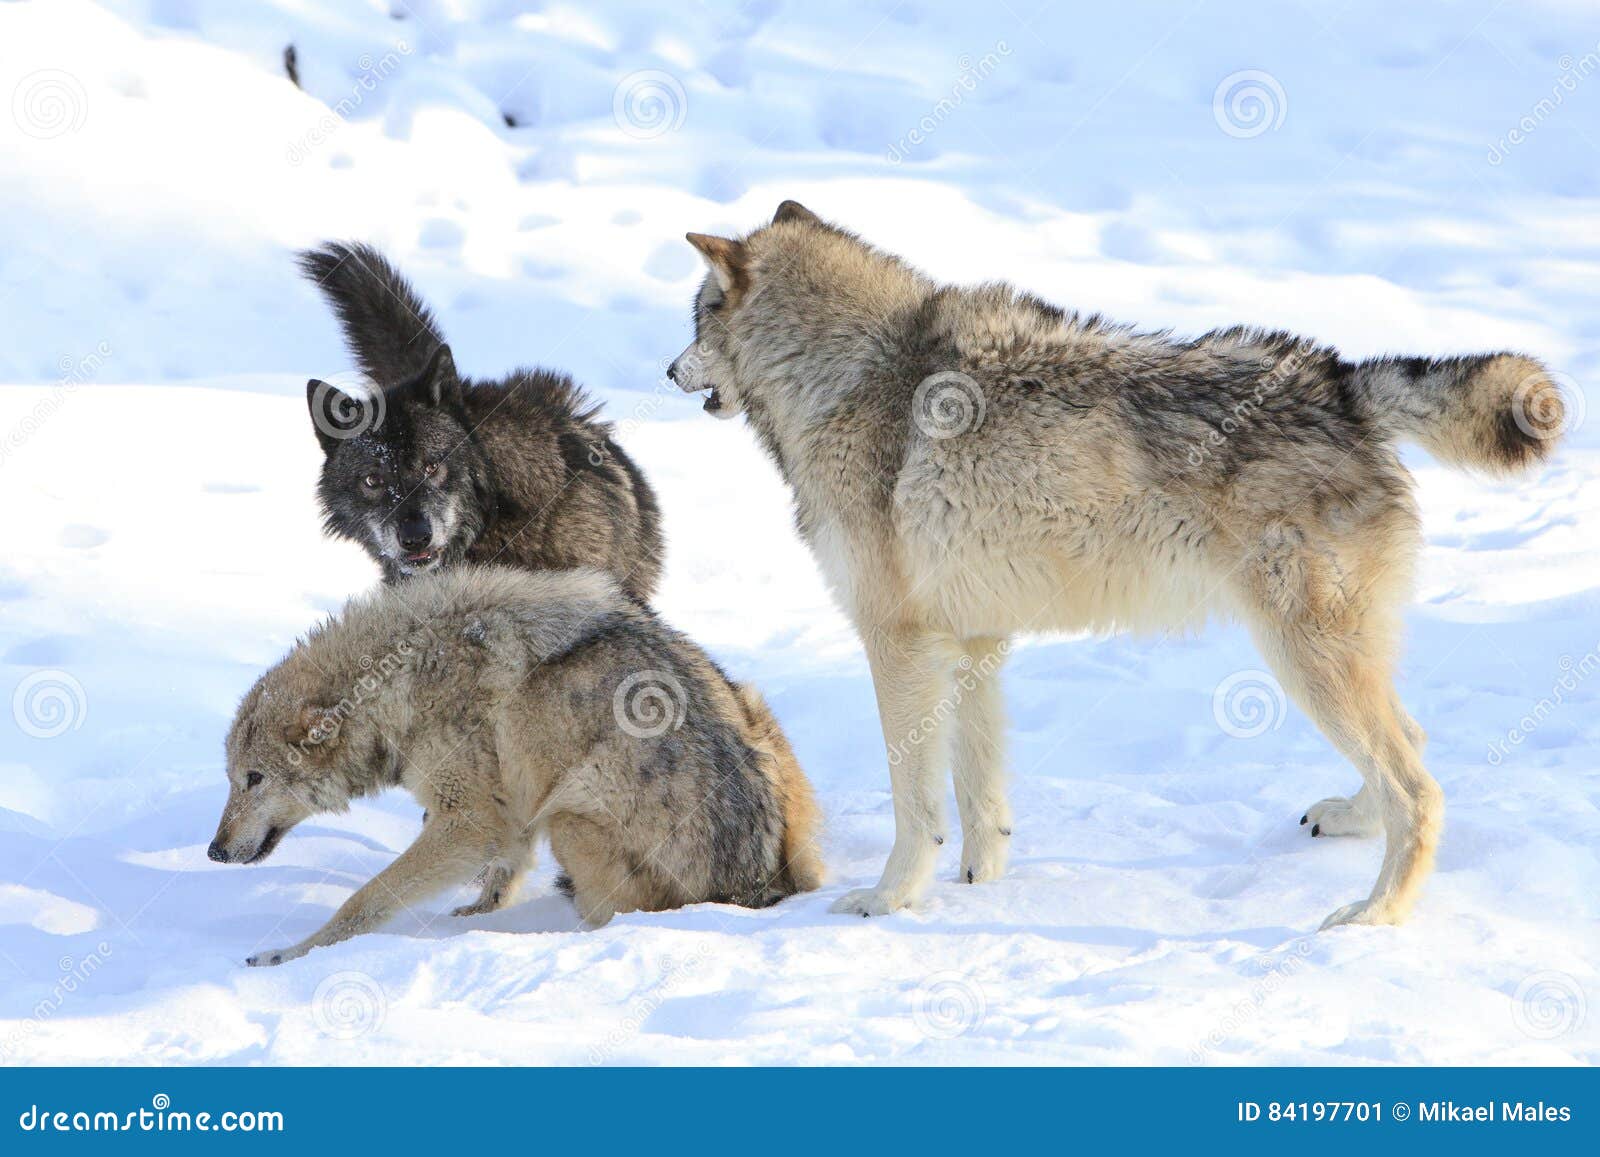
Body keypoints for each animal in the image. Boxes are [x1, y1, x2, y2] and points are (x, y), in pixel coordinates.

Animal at [207, 565, 823, 965]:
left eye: (254, 779)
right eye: (231, 780)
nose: (213, 851)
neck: (400, 677)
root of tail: (756, 888)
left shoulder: (471, 819)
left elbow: (365, 899)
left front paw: (293, 954)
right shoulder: (507, 808)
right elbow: (506, 867)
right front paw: (481, 913)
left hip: (571, 811)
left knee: (623, 913)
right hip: (749, 708)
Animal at [669, 200, 1567, 929]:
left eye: (695, 320)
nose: (667, 370)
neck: (853, 374)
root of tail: (1343, 382)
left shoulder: (899, 646)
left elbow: (916, 802)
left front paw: (890, 900)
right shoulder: (974, 642)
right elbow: (979, 793)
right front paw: (980, 882)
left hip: (1301, 656)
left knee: (1419, 786)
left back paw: (1374, 915)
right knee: (1412, 744)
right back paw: (1348, 823)